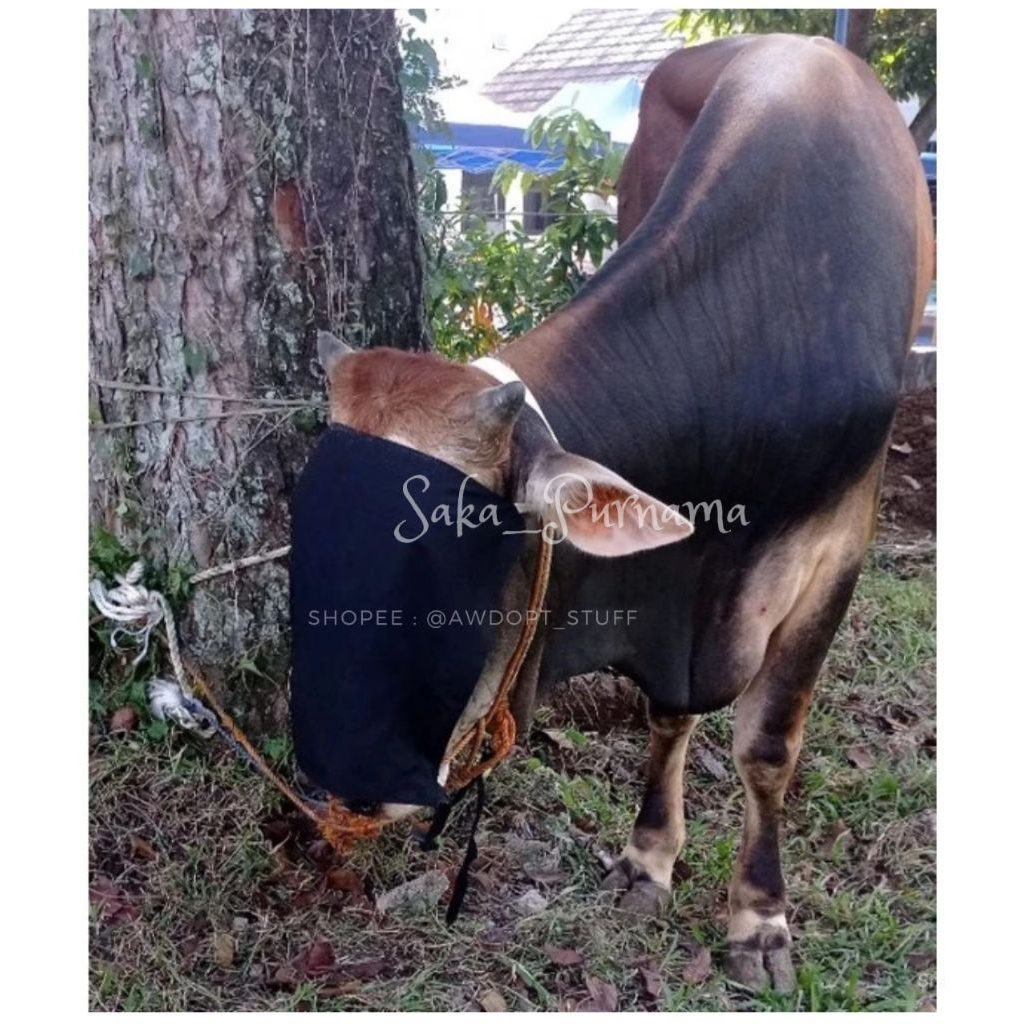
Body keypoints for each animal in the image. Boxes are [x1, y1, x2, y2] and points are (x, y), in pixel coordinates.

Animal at [311, 34, 933, 991]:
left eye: (456, 549)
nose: (341, 768)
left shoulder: (840, 549)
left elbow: (767, 745)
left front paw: (760, 921)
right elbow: (668, 712)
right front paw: (648, 858)